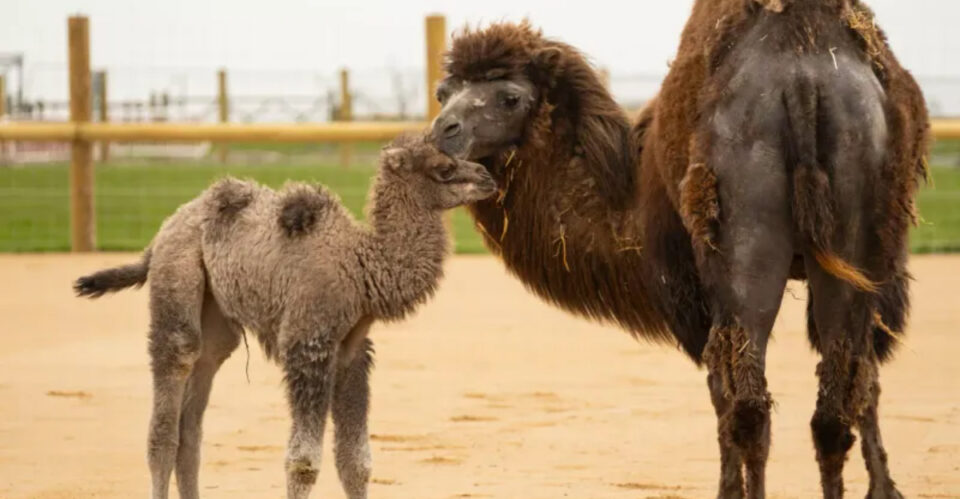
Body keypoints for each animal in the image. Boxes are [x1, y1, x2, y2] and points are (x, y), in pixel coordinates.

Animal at [74, 133, 497, 499]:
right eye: (443, 168)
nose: (487, 177)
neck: (360, 266)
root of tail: (162, 232)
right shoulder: (306, 344)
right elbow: (304, 462)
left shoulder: (353, 352)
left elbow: (355, 461)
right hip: (176, 276)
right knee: (168, 407)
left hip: (217, 319)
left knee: (194, 415)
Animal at [429, 1, 928, 497]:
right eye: (443, 92)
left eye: (510, 97)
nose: (442, 132)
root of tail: (804, 80)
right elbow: (867, 382)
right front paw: (885, 488)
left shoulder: (689, 286)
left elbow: (720, 391)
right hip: (856, 228)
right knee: (831, 408)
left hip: (745, 238)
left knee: (751, 406)